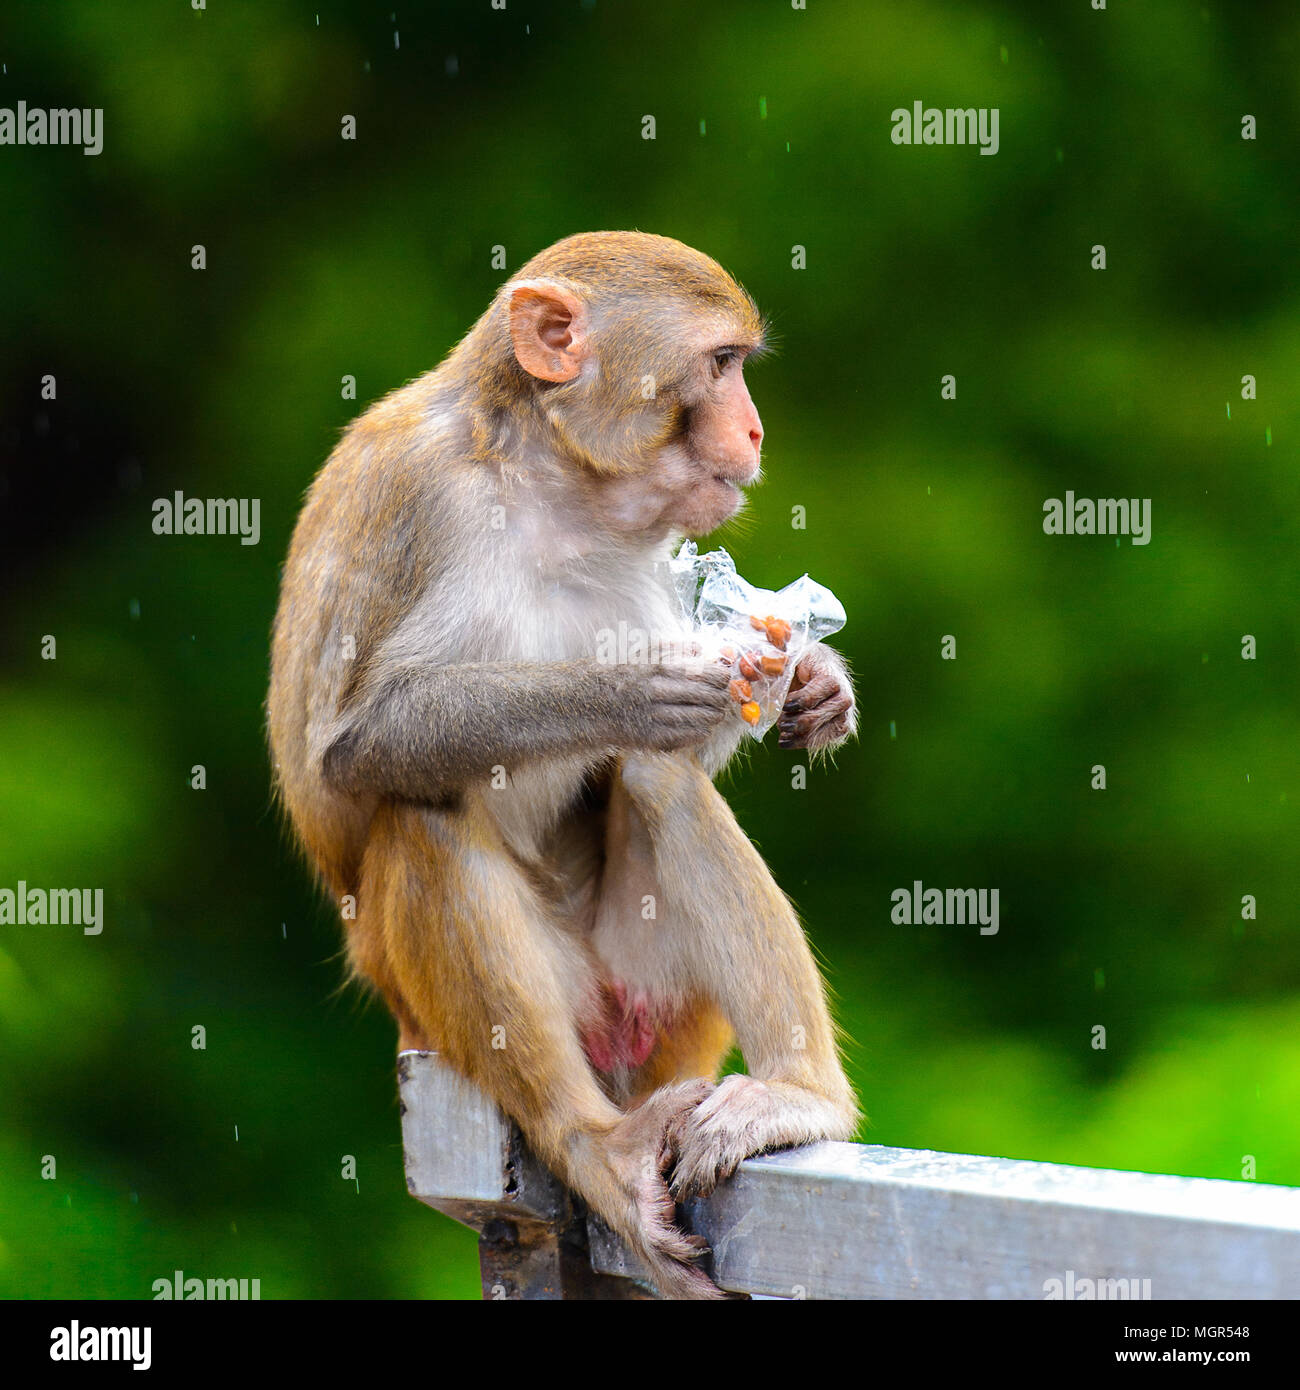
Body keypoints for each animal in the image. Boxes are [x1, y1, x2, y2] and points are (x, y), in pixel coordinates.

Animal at [268, 231, 859, 1299]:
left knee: (661, 783)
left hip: (663, 1005)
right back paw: (591, 1141)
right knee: (422, 813)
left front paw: (812, 681)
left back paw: (799, 1096)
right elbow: (349, 746)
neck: (549, 482)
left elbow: (694, 739)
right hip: (436, 1009)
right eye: (722, 363)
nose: (754, 430)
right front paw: (631, 689)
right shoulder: (416, 495)